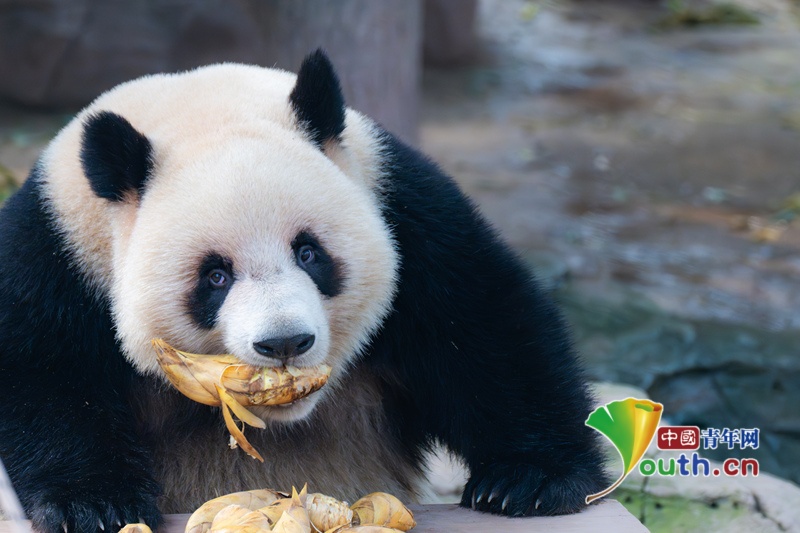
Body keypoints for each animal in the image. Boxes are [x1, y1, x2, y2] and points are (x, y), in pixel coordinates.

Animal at [0, 50, 607, 532]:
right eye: (215, 276)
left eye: (309, 253)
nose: (285, 343)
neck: (196, 109)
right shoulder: (56, 252)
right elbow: (45, 376)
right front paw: (95, 506)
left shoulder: (403, 207)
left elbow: (482, 330)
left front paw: (531, 481)